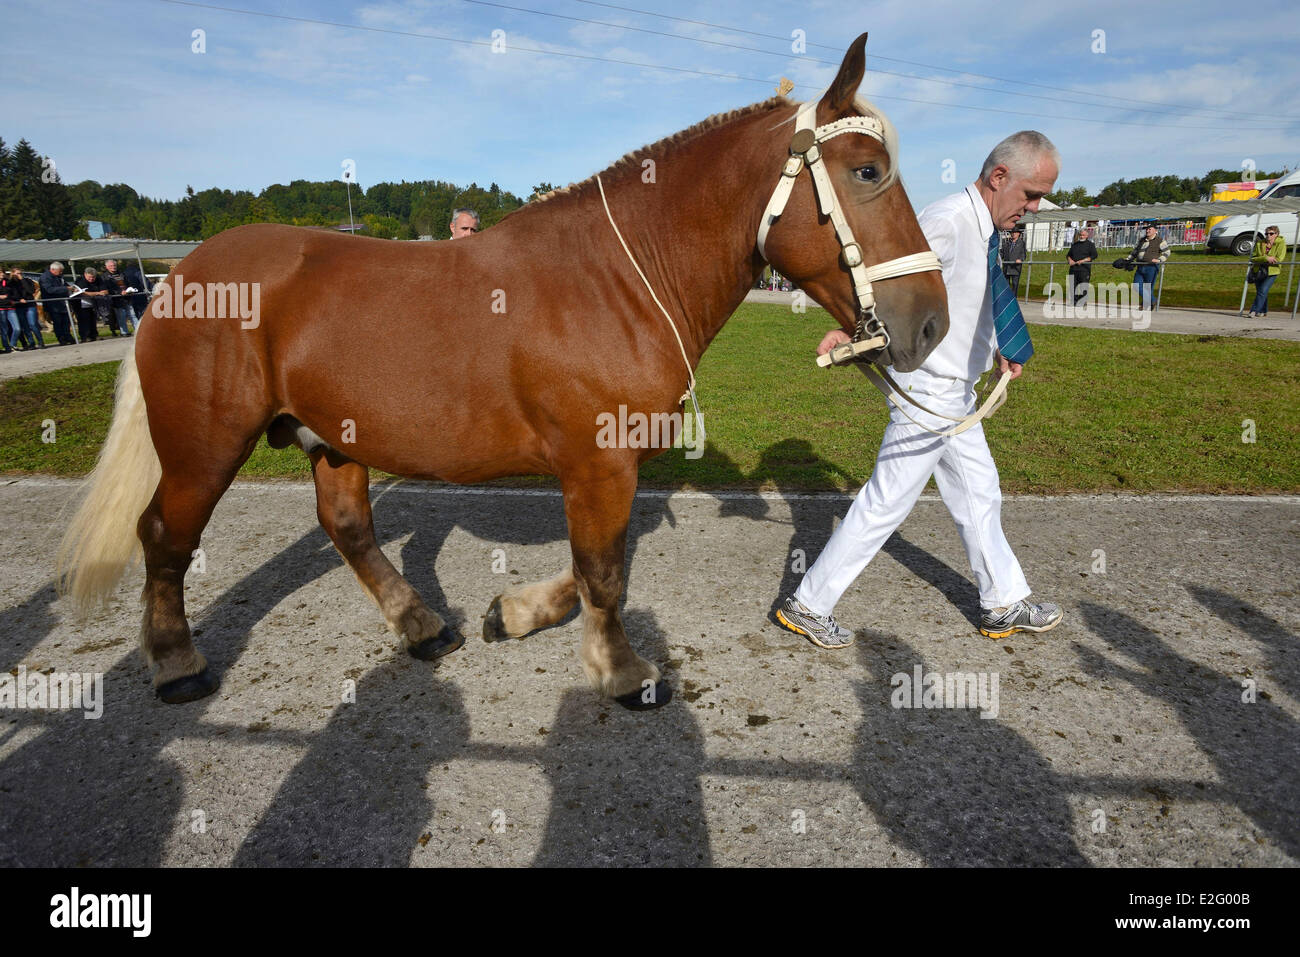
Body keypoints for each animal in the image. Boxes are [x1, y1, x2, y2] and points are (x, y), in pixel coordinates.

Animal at [57, 33, 949, 711]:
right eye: (868, 171)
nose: (933, 322)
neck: (617, 277)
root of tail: (179, 274)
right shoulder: (599, 462)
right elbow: (603, 571)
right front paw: (621, 670)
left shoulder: (603, 466)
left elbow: (594, 566)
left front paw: (511, 613)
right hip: (205, 447)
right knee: (164, 536)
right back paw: (177, 663)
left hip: (332, 436)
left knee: (347, 526)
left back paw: (421, 624)